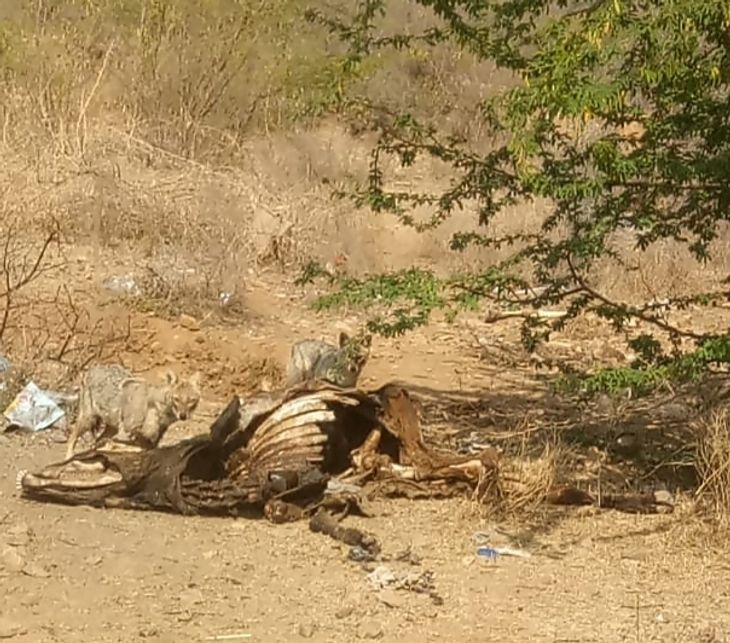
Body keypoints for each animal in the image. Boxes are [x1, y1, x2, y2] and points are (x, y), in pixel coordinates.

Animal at [64, 364, 202, 460]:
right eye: (176, 399)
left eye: (192, 400)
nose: (183, 416)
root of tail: (93, 368)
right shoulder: (125, 433)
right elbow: (129, 450)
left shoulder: (152, 440)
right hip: (88, 420)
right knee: (73, 436)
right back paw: (69, 457)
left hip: (110, 428)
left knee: (97, 442)